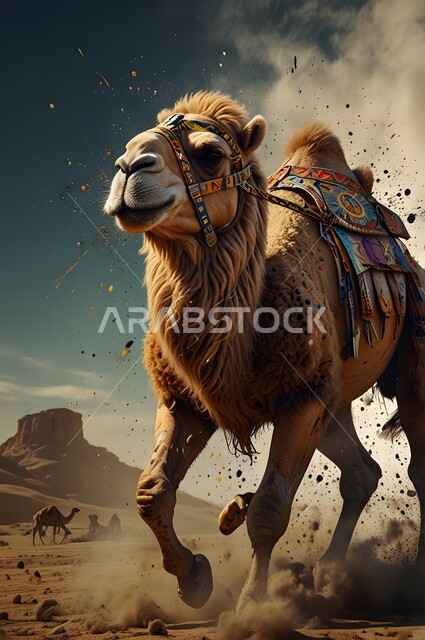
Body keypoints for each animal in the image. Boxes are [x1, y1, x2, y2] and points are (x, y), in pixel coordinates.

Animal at [104, 91, 425, 611]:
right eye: (129, 149)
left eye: (210, 152)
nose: (130, 165)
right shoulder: (187, 398)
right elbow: (151, 491)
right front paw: (194, 578)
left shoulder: (300, 397)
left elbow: (272, 508)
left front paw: (252, 605)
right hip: (334, 399)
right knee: (364, 471)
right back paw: (329, 573)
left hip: (407, 365)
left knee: (417, 466)